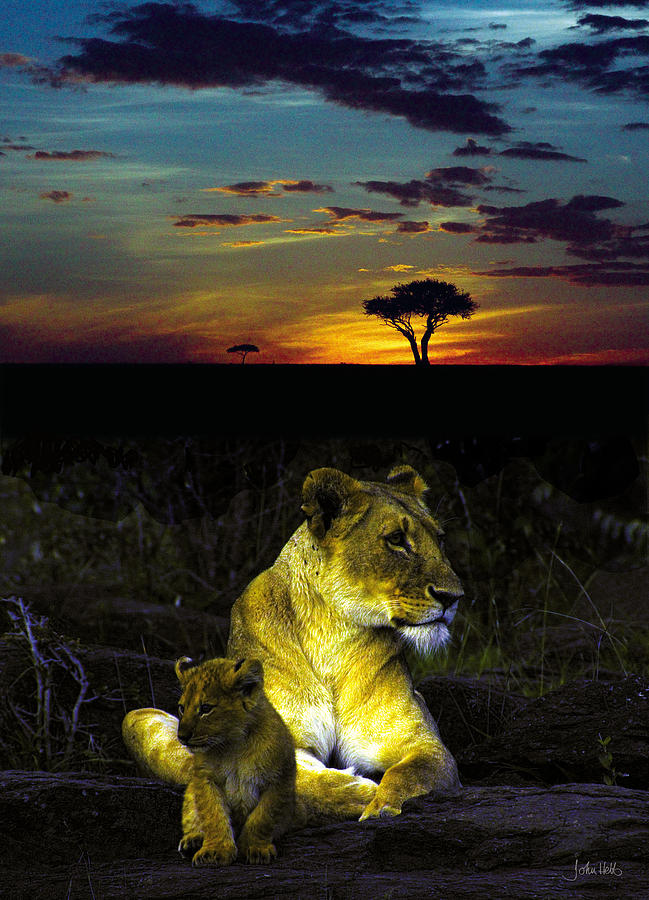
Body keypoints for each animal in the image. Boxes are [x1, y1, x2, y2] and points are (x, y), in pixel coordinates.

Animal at [122, 465, 463, 823]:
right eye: (396, 539)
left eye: (439, 538)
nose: (454, 596)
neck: (332, 634)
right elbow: (301, 783)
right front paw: (359, 792)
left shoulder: (423, 744)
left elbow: (410, 773)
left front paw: (380, 805)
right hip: (136, 719)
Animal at [174, 655, 296, 866]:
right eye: (182, 708)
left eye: (205, 709)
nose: (182, 737)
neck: (233, 746)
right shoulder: (205, 779)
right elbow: (213, 815)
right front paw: (214, 850)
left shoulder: (281, 777)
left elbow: (263, 817)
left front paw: (254, 848)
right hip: (190, 791)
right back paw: (193, 840)